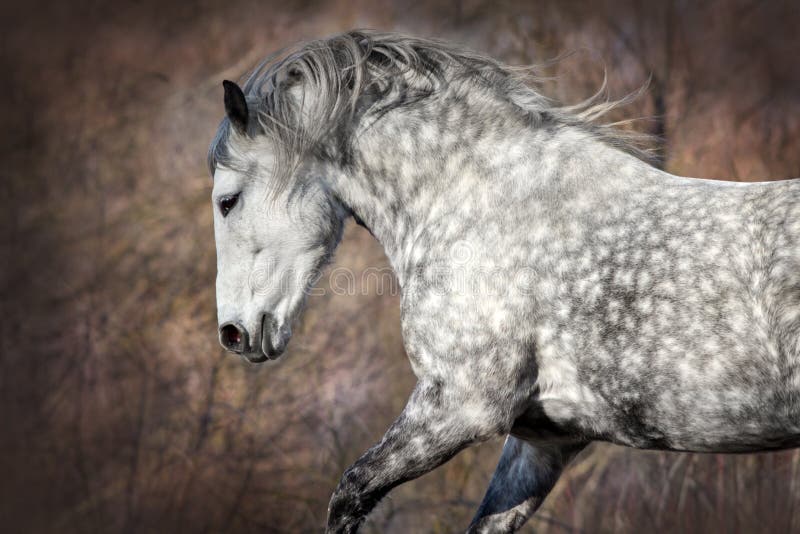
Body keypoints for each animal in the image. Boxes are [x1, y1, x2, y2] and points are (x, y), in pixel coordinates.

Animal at [208, 30, 800, 533]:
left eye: (227, 201)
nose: (233, 333)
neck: (480, 204)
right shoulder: (544, 441)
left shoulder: (460, 406)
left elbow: (348, 494)